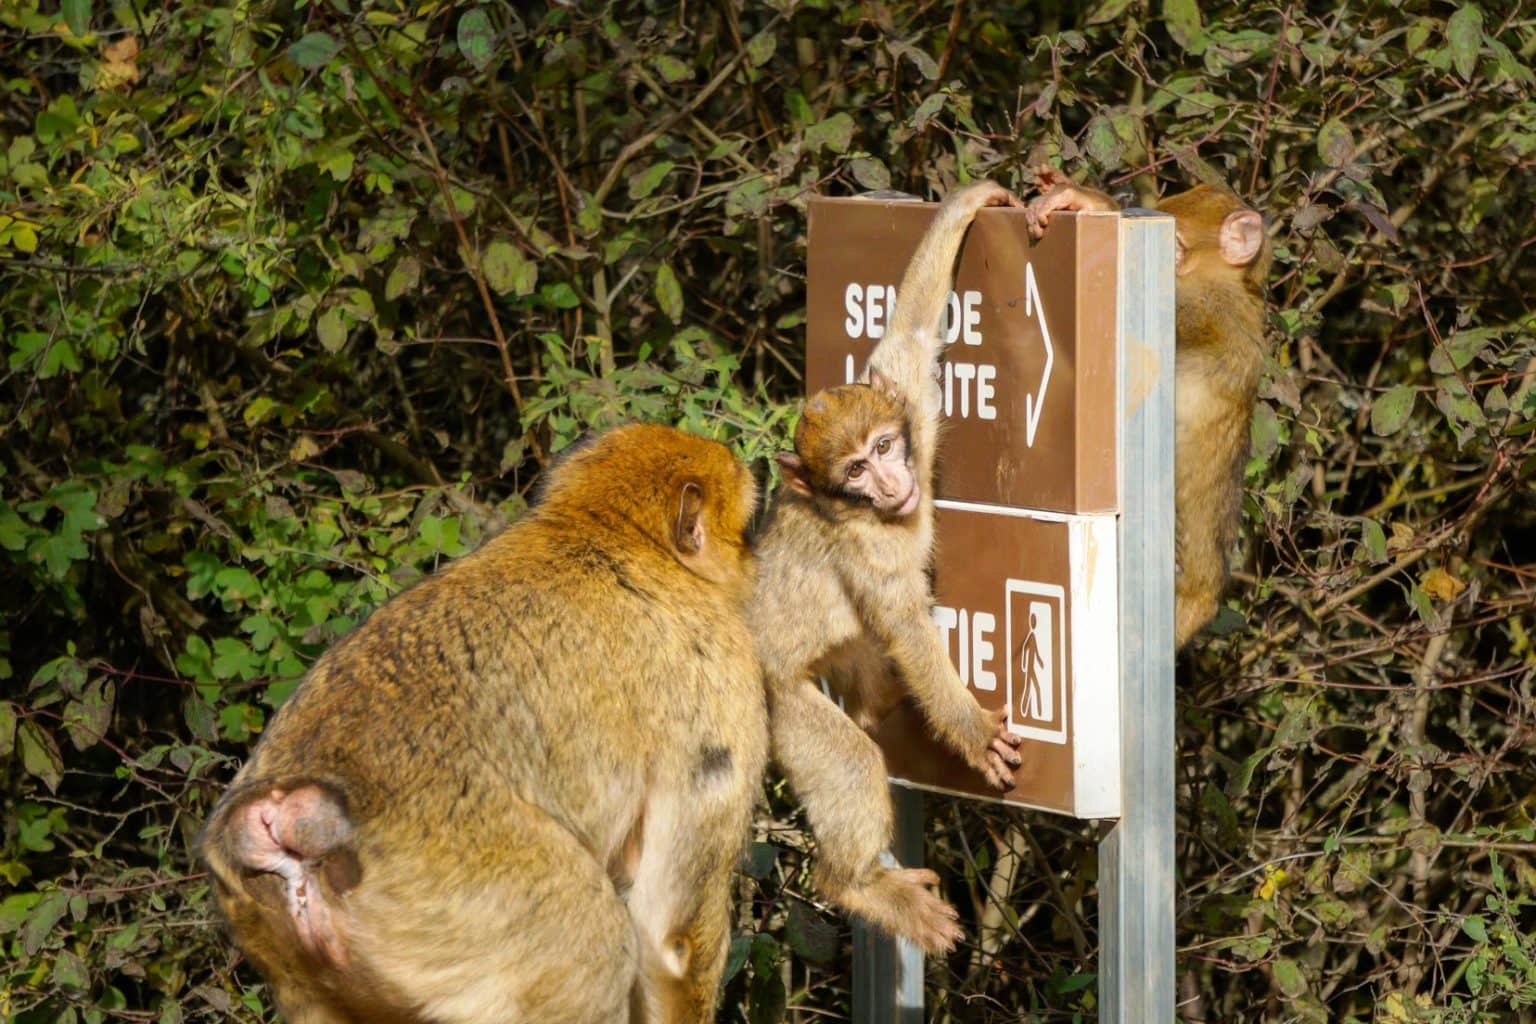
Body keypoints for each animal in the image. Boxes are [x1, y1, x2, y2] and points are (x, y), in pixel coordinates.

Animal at [199, 423, 765, 1024]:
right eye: (745, 530)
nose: (752, 561)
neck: (610, 533)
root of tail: (288, 812)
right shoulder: (720, 674)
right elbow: (672, 934)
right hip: (483, 899)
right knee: (591, 944)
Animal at [751, 181, 1026, 955]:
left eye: (882, 444)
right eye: (854, 470)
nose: (893, 480)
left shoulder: (913, 414)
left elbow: (909, 335)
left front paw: (968, 204)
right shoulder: (867, 550)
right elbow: (905, 624)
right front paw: (969, 729)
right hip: (784, 707)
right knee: (848, 761)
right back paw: (857, 885)